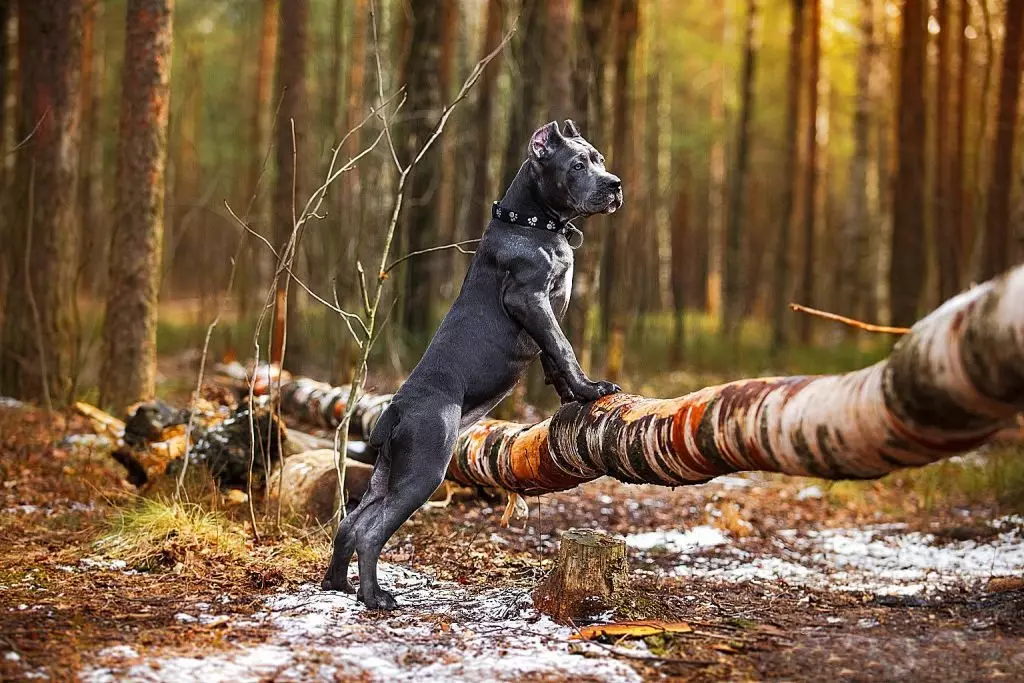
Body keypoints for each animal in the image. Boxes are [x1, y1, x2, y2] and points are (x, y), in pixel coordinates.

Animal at [321, 120, 622, 610]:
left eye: (598, 159)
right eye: (578, 165)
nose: (615, 184)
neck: (533, 223)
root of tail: (395, 411)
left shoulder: (544, 314)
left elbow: (553, 359)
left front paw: (571, 398)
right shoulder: (531, 299)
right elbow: (563, 348)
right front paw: (592, 389)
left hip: (388, 471)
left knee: (351, 523)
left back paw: (338, 586)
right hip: (424, 469)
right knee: (371, 532)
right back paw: (375, 598)